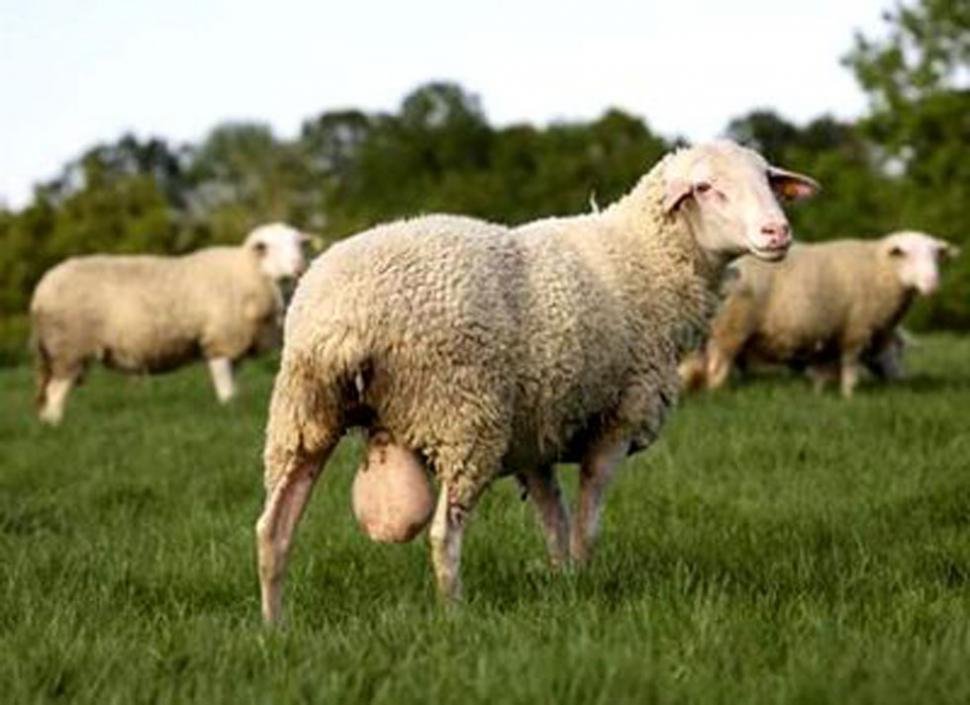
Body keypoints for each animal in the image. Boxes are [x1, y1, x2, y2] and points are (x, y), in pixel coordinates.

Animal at [30, 222, 309, 424]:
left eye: (298, 243)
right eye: (267, 247)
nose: (300, 266)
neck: (250, 271)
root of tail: (41, 290)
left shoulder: (232, 345)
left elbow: (233, 386)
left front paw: (233, 408)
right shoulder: (219, 340)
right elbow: (225, 384)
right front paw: (227, 408)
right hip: (69, 346)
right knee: (56, 391)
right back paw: (55, 424)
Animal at [254, 140, 819, 623]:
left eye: (768, 179)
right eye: (705, 187)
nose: (777, 233)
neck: (645, 258)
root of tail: (344, 319)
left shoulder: (533, 438)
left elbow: (554, 523)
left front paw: (564, 585)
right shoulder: (617, 421)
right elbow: (586, 525)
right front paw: (586, 585)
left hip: (302, 416)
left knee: (272, 530)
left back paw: (274, 627)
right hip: (464, 418)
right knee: (442, 535)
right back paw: (454, 618)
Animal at [688, 231, 958, 397]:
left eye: (936, 256)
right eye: (907, 255)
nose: (933, 284)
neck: (881, 268)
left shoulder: (828, 335)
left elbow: (824, 370)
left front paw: (819, 393)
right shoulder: (855, 330)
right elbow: (849, 366)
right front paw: (849, 395)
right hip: (731, 329)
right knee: (718, 368)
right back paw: (719, 393)